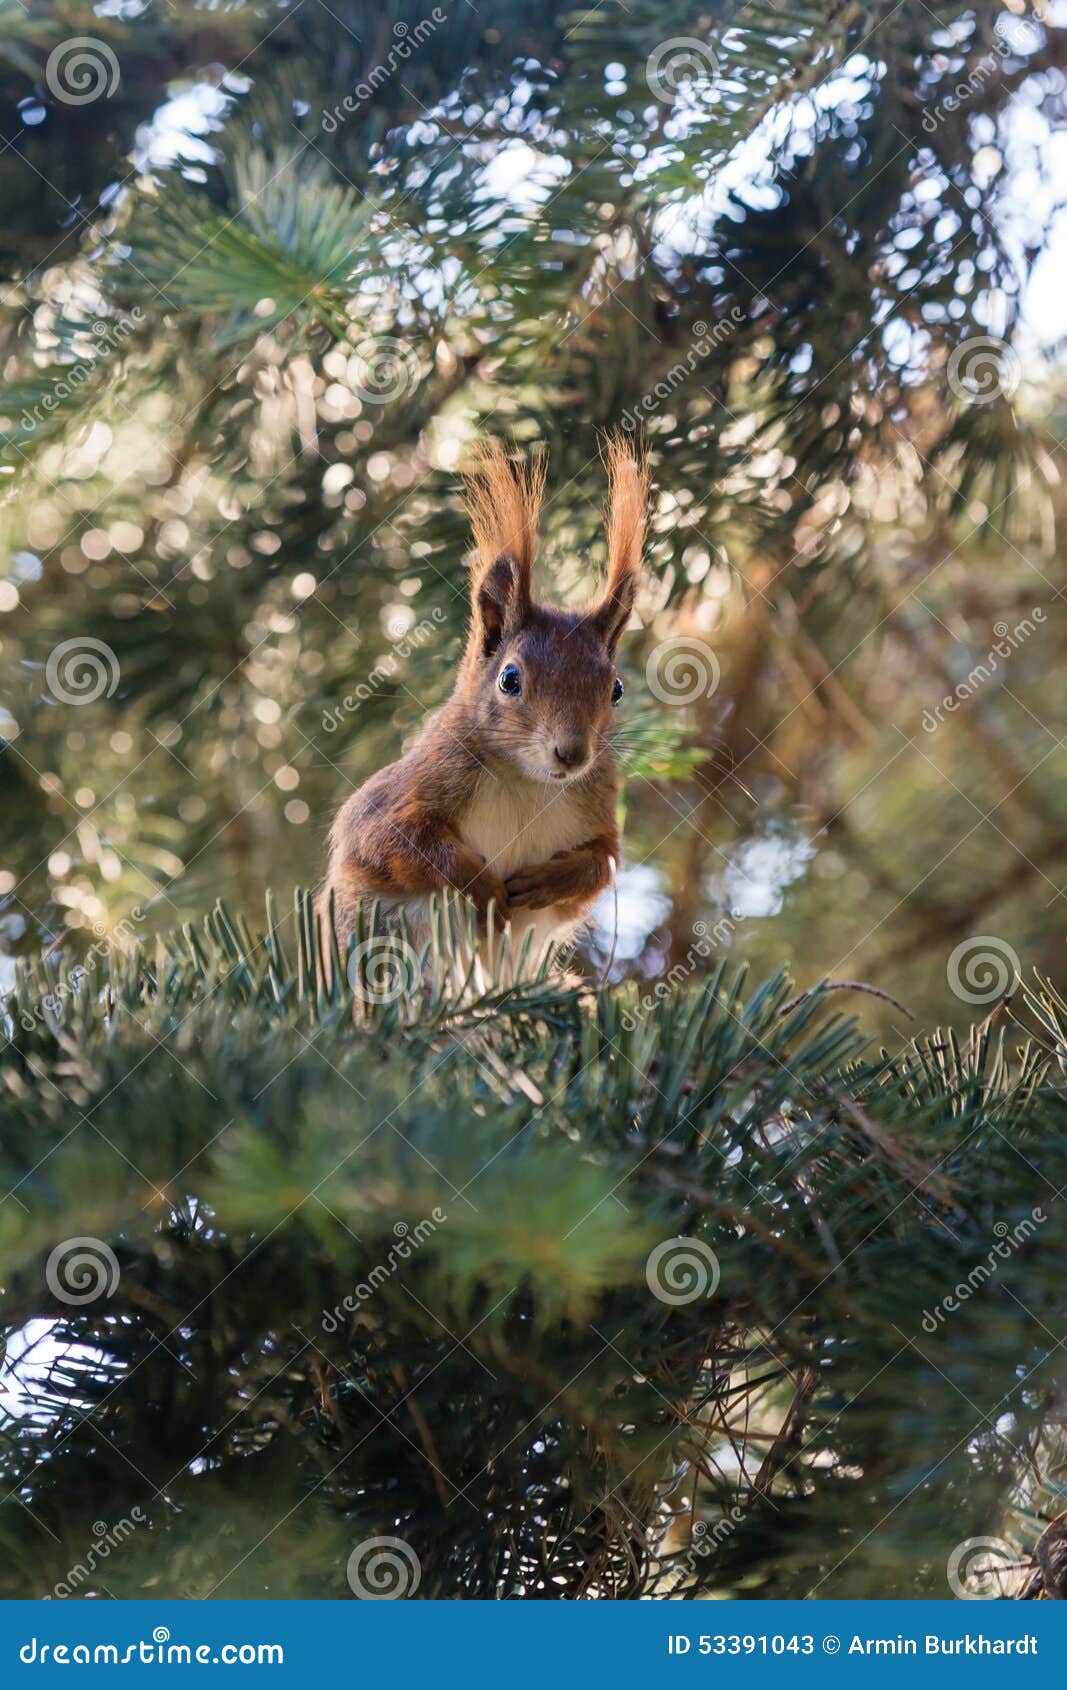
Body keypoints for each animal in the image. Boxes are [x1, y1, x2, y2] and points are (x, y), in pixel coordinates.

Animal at [323, 438, 649, 976]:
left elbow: (603, 864)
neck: (529, 781)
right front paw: (484, 889)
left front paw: (551, 880)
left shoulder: (598, 801)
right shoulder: (418, 783)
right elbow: (389, 840)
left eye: (616, 689)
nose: (572, 755)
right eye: (510, 680)